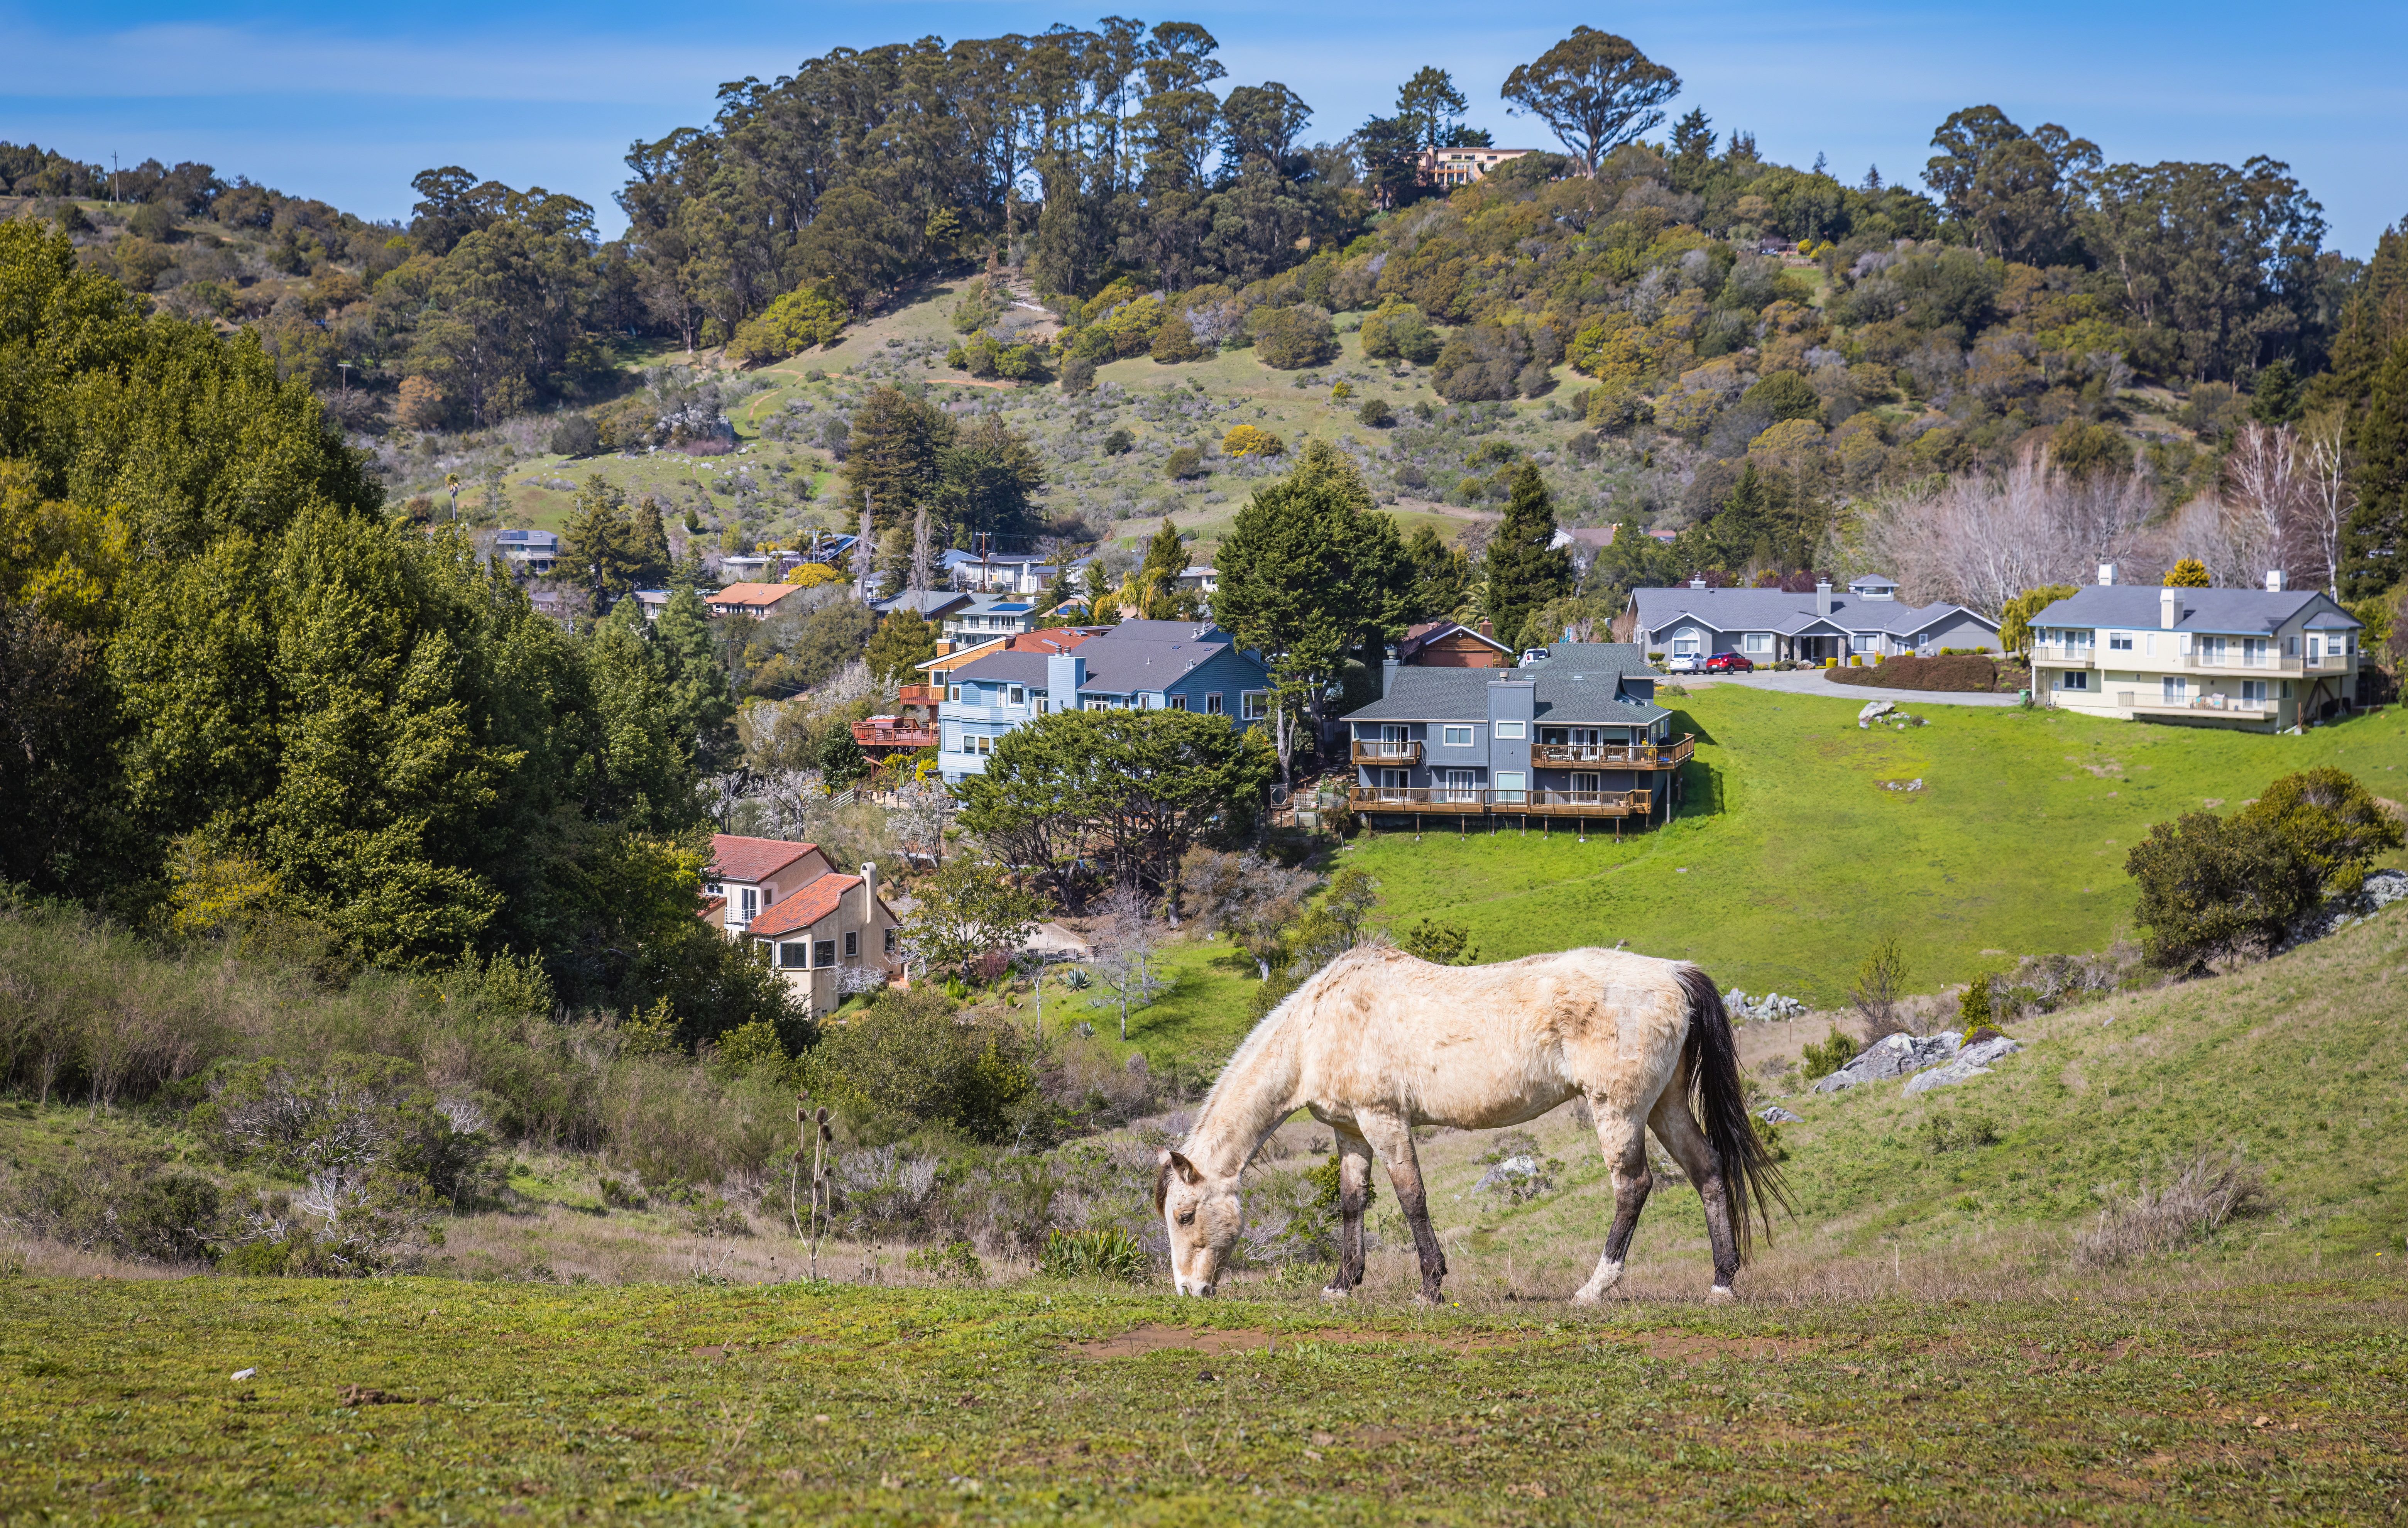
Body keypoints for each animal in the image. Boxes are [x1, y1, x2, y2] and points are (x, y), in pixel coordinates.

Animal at [1155, 946, 1784, 1303]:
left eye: (1185, 1216)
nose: (1189, 1291)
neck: (1320, 1025)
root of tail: (1675, 975)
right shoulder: (1351, 1131)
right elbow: (1352, 1203)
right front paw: (1341, 1285)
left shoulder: (1385, 1121)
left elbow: (1411, 1198)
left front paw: (1430, 1288)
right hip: (1664, 1106)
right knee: (1707, 1170)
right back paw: (1722, 1283)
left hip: (1620, 1111)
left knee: (1633, 1186)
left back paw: (1594, 1289)